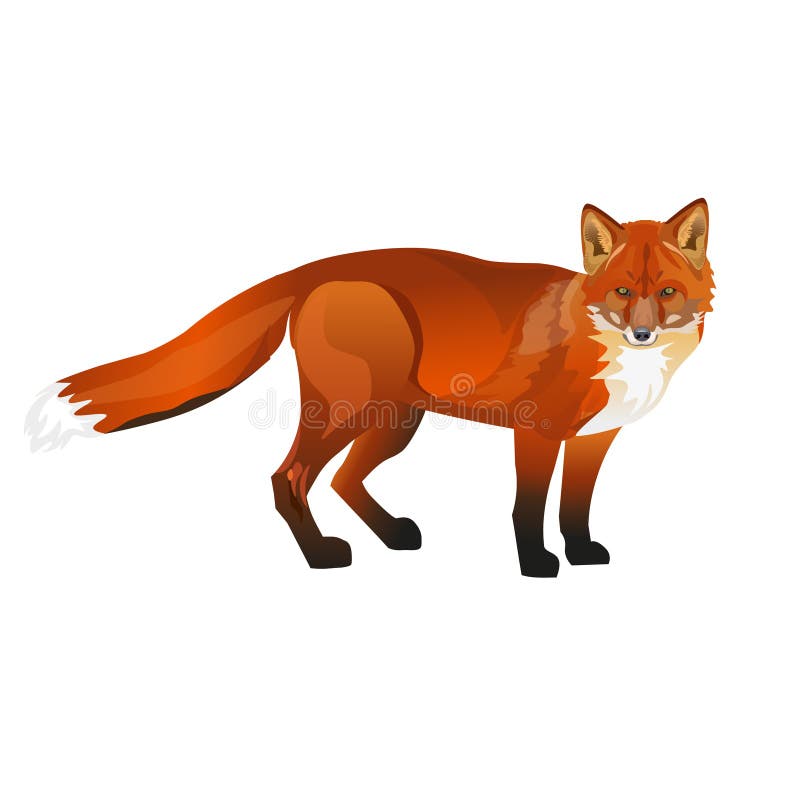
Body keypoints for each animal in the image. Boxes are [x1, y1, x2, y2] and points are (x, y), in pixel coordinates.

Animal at [26, 200, 714, 577]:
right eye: (622, 291)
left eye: (666, 292)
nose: (644, 333)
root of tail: (322, 267)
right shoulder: (537, 432)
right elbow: (528, 509)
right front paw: (537, 566)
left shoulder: (595, 437)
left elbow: (575, 508)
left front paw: (581, 553)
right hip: (353, 412)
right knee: (290, 478)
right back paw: (322, 556)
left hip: (393, 419)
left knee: (342, 479)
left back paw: (390, 536)